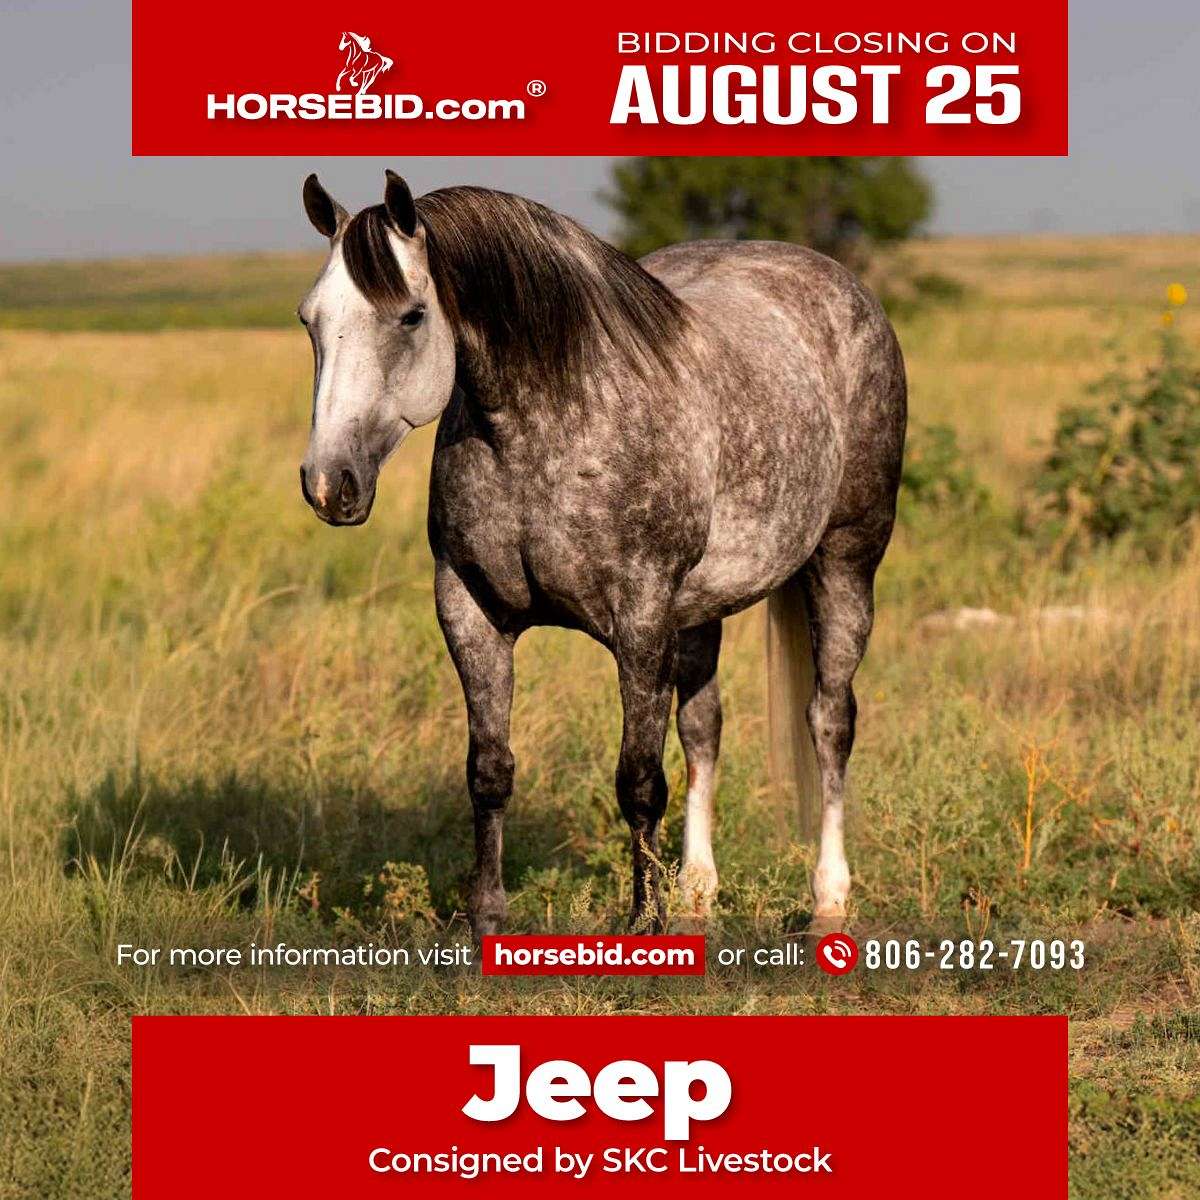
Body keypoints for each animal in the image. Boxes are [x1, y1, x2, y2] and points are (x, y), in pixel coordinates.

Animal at [297, 170, 906, 938]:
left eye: (410, 317)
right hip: (699, 609)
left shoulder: (639, 621)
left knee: (829, 721)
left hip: (845, 563)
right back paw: (696, 892)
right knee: (703, 729)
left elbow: (639, 779)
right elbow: (489, 769)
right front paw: (486, 916)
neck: (543, 428)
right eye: (310, 320)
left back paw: (829, 898)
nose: (329, 483)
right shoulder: (469, 612)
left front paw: (643, 922)